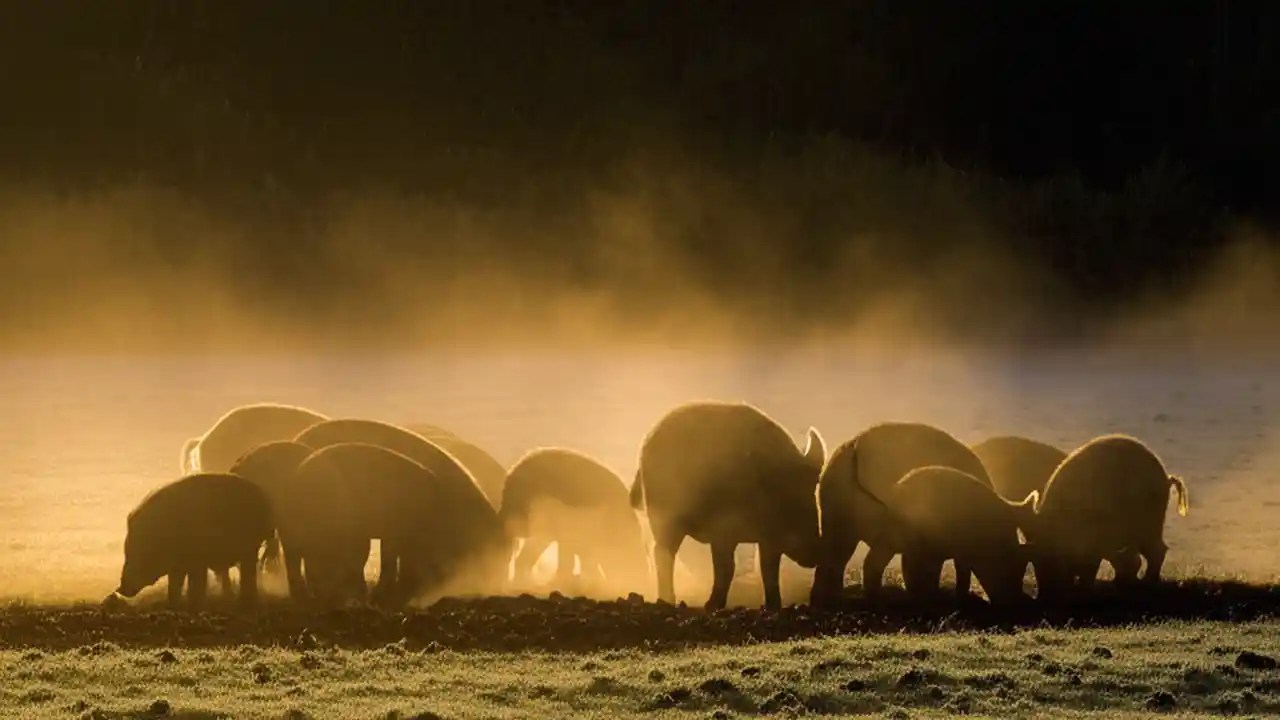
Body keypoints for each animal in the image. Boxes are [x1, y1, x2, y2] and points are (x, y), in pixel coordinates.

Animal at [115, 473, 273, 609]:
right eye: (126, 551)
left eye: (138, 552)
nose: (120, 589)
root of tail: (263, 496)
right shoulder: (177, 566)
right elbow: (174, 586)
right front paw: (172, 605)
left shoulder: (197, 562)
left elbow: (195, 585)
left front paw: (194, 605)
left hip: (251, 548)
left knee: (248, 573)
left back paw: (246, 603)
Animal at [632, 401, 825, 611]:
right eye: (788, 497)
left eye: (813, 491)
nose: (817, 551)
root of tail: (648, 438)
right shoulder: (722, 529)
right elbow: (726, 567)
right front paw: (711, 606)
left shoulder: (767, 539)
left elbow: (769, 569)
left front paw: (773, 606)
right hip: (664, 516)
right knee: (662, 553)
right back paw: (668, 600)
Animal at [812, 422, 993, 606]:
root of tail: (858, 446)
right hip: (887, 524)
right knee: (870, 562)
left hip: (837, 500)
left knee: (834, 558)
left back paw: (826, 602)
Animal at [1023, 434, 1189, 599]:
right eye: (1034, 560)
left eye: (1047, 560)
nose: (1041, 595)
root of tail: (1166, 478)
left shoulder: (1093, 542)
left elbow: (1090, 569)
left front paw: (1085, 589)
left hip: (1149, 523)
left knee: (1157, 551)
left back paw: (1146, 583)